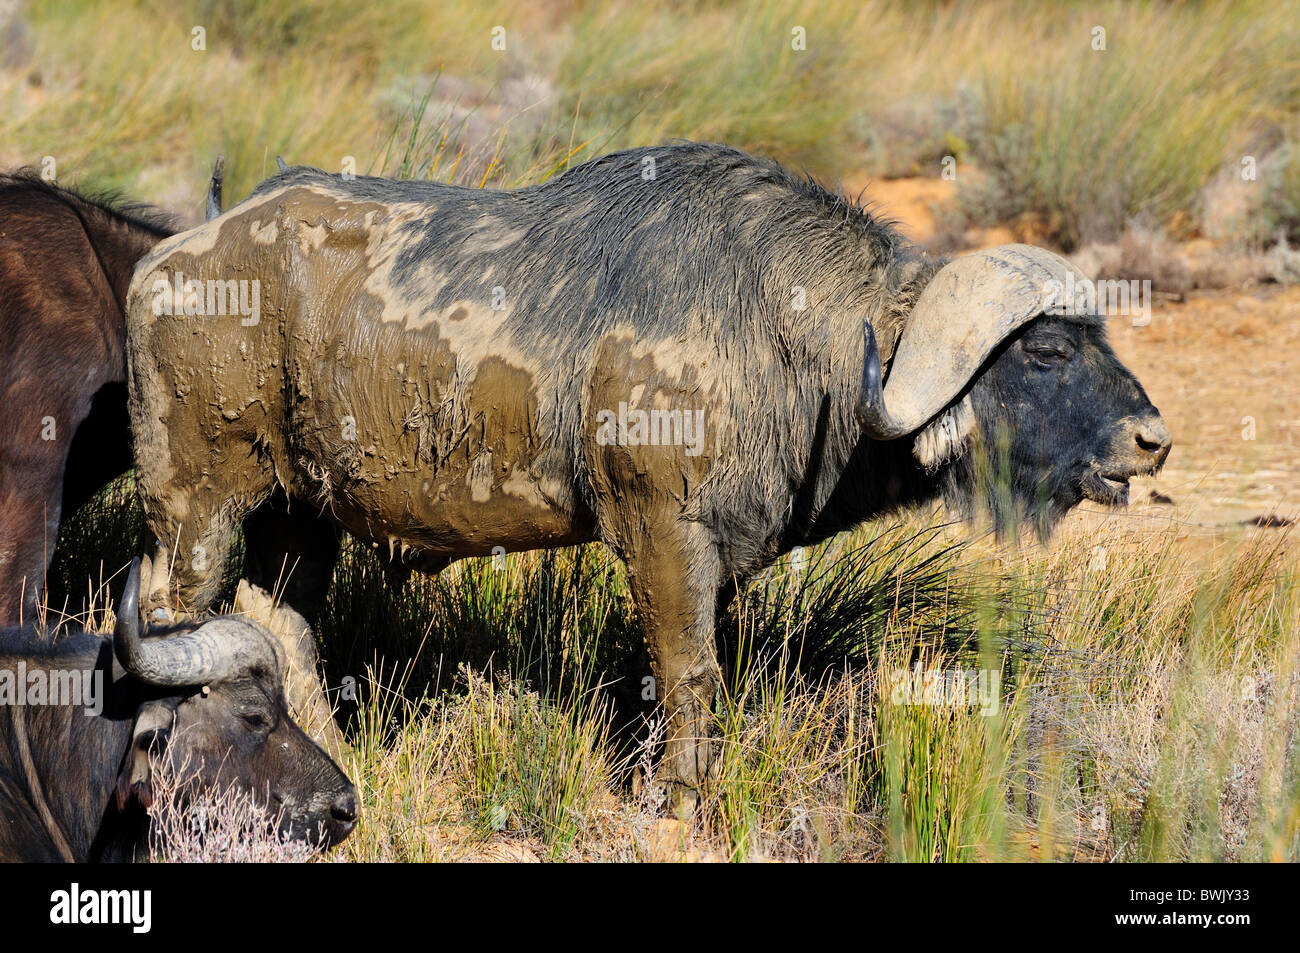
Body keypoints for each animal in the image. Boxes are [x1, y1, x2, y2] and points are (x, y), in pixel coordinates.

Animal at [125, 142, 1170, 800]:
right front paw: (680, 791)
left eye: (1101, 335)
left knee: (287, 629)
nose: (1153, 438)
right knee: (178, 618)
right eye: (1047, 351)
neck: (785, 334)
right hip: (197, 506)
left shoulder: (726, 555)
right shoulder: (662, 533)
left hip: (299, 517)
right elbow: (686, 667)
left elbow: (707, 664)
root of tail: (175, 254)